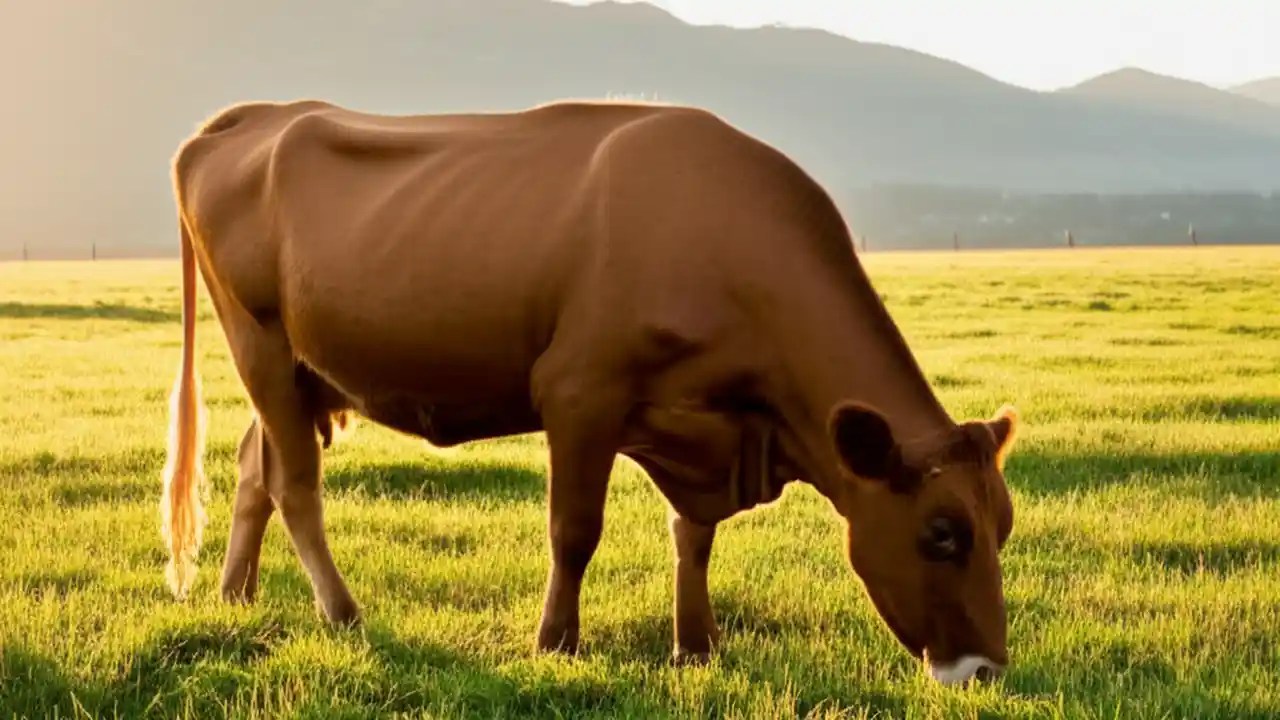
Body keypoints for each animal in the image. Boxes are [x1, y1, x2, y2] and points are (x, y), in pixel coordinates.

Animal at [161, 99, 1019, 685]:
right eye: (941, 533)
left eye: (1003, 526)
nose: (984, 669)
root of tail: (260, 115)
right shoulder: (579, 393)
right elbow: (574, 529)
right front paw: (556, 642)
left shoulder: (697, 423)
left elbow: (693, 535)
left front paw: (695, 645)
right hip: (260, 342)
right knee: (295, 484)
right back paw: (341, 613)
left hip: (302, 371)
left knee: (254, 468)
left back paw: (235, 597)